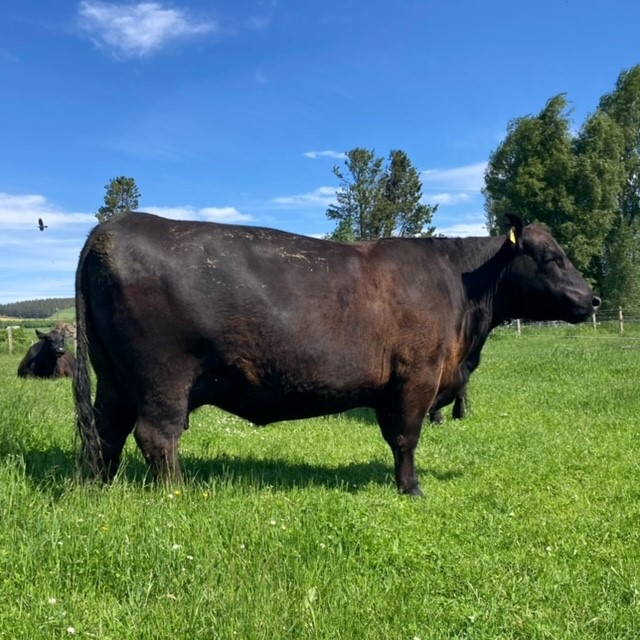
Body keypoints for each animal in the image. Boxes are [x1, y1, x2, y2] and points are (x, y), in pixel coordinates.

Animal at [74, 211, 600, 496]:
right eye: (551, 258)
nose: (592, 299)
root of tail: (111, 227)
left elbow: (395, 437)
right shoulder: (417, 377)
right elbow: (406, 438)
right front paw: (411, 488)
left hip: (115, 377)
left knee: (105, 432)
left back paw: (99, 487)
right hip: (161, 378)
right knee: (156, 437)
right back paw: (177, 493)